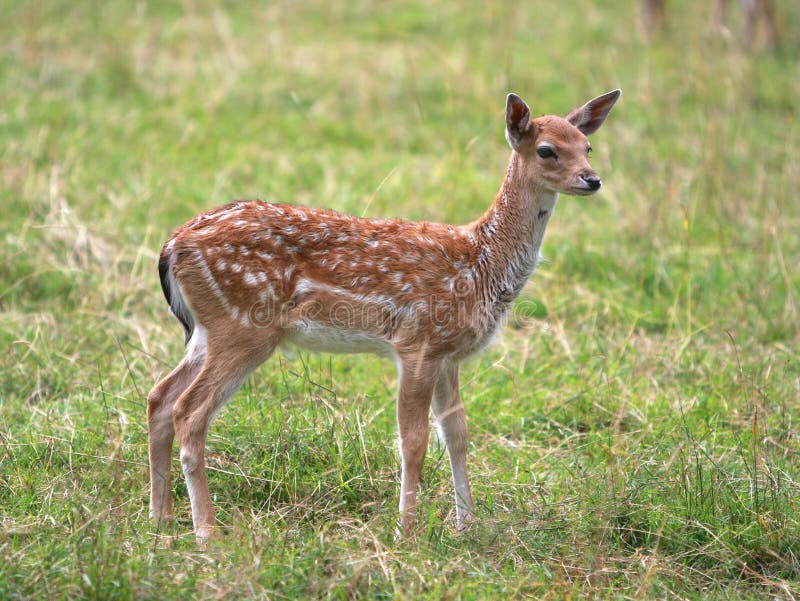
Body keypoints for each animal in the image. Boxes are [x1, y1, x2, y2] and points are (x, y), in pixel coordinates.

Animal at [147, 89, 621, 541]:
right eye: (546, 150)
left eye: (587, 146)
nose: (593, 179)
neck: (482, 262)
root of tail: (171, 246)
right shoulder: (418, 342)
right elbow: (413, 441)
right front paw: (405, 532)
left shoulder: (448, 355)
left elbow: (458, 435)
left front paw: (467, 526)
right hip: (243, 325)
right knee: (189, 411)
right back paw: (206, 533)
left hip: (208, 331)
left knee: (159, 398)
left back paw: (160, 520)